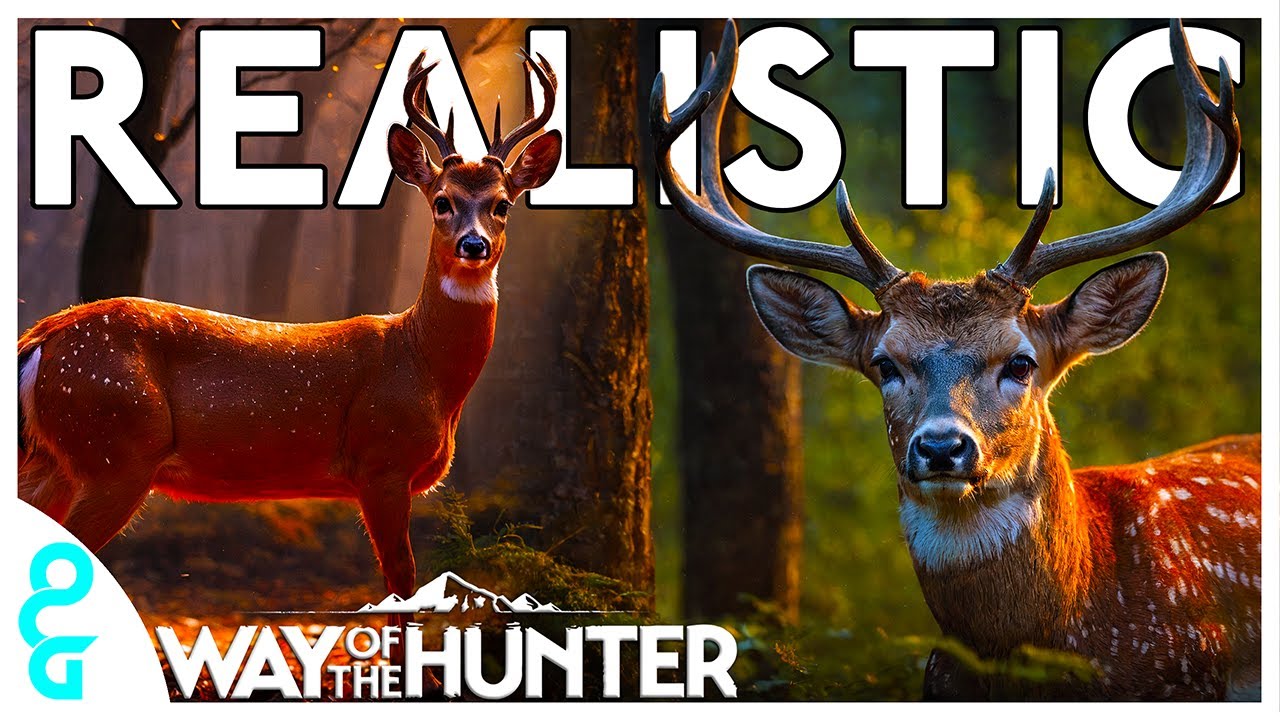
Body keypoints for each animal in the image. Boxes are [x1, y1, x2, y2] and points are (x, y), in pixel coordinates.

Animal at [18, 49, 563, 680]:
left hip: (55, 459)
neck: (422, 365)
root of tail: (41, 338)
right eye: (442, 202)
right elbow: (402, 581)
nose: (474, 246)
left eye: (502, 205)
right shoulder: (381, 460)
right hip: (116, 446)